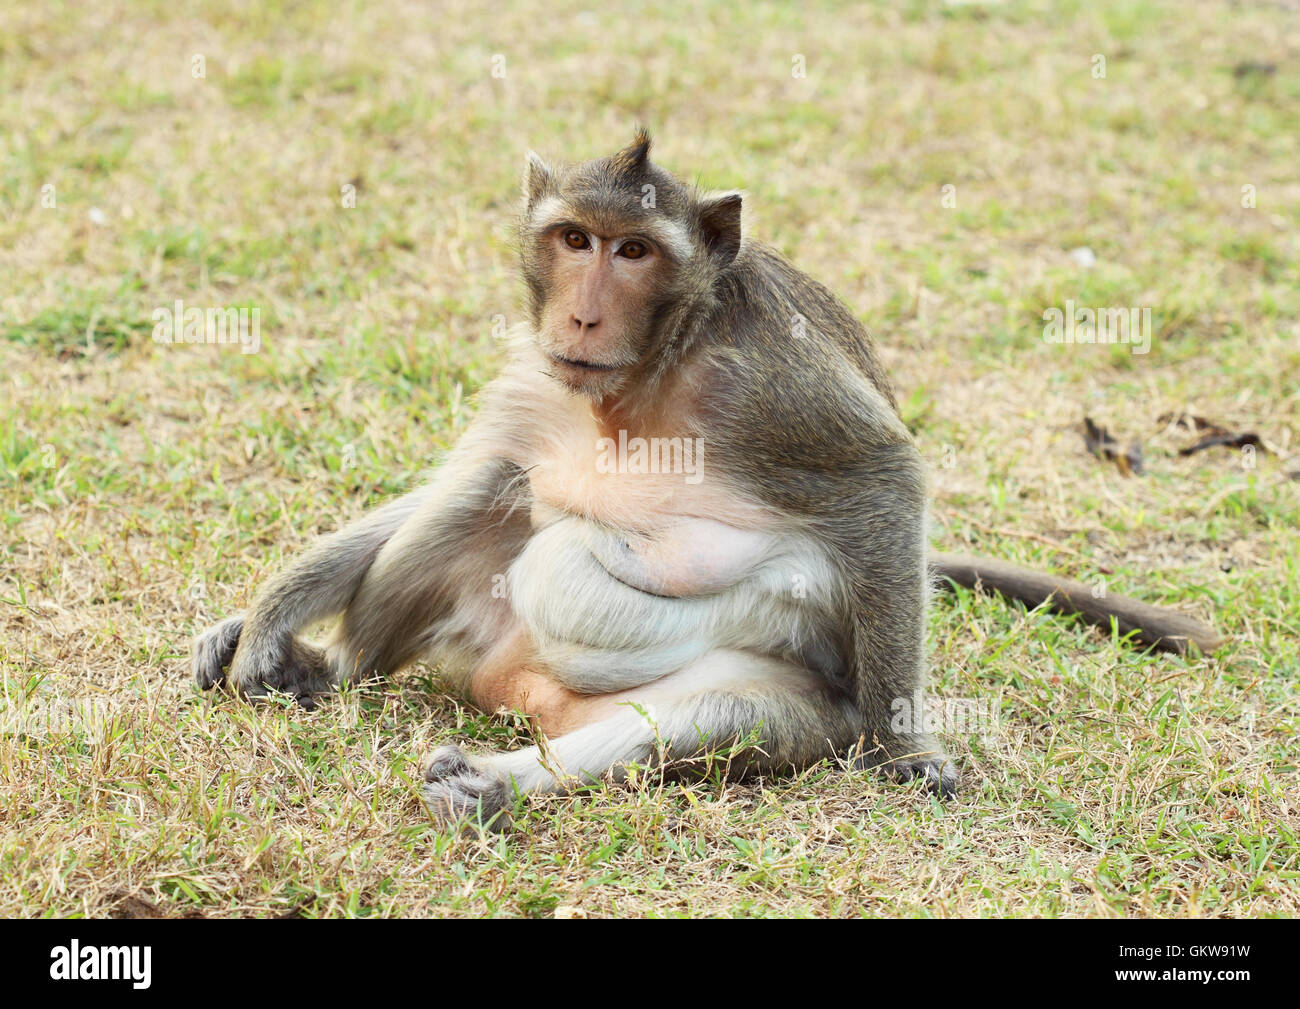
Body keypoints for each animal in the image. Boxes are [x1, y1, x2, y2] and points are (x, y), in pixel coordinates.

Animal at [190, 131, 1223, 831]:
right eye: (575, 239)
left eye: (635, 250)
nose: (585, 316)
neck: (649, 373)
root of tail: (516, 692)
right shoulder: (537, 376)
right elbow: (478, 467)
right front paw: (263, 617)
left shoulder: (772, 383)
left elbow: (884, 479)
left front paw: (906, 745)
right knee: (476, 499)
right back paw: (331, 668)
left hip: (769, 696)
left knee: (712, 715)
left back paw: (502, 778)